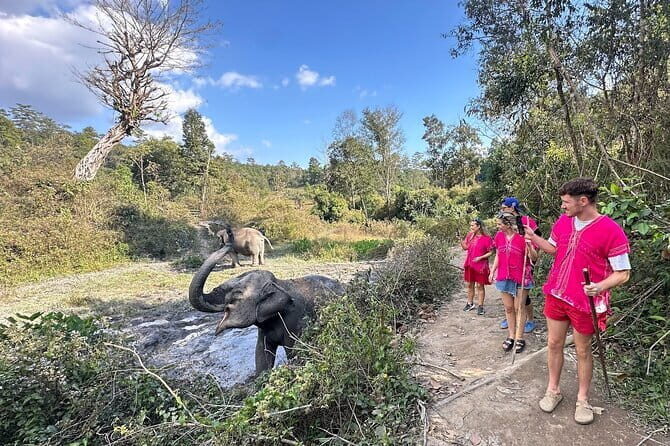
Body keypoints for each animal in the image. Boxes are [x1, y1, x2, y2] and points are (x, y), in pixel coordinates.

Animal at [189, 245, 345, 374]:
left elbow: (293, 353)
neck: (279, 283)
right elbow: (261, 357)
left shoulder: (296, 322)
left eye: (237, 295)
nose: (228, 245)